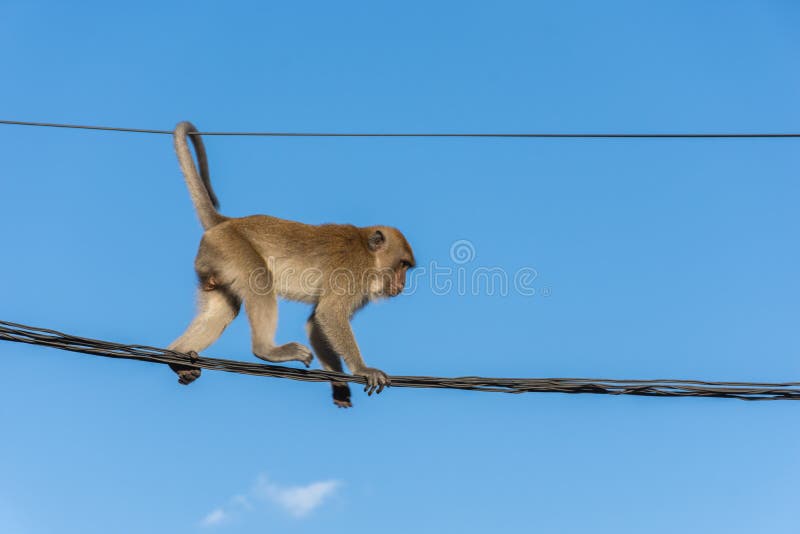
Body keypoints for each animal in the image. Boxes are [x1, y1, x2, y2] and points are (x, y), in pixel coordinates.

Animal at [167, 121, 415, 408]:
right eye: (402, 265)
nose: (401, 284)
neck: (368, 252)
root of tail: (226, 222)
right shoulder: (355, 270)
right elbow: (329, 314)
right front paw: (363, 370)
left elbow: (316, 324)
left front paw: (340, 386)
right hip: (232, 248)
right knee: (260, 279)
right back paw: (267, 350)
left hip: (215, 260)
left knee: (224, 308)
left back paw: (176, 353)